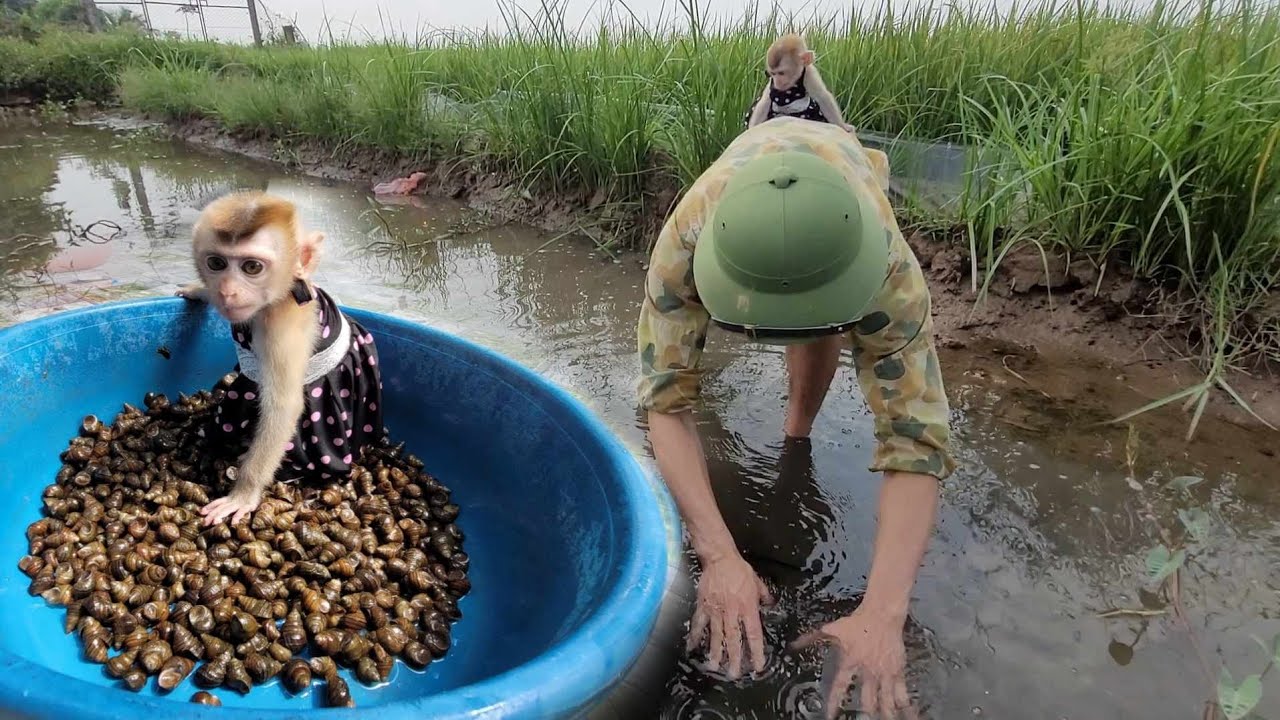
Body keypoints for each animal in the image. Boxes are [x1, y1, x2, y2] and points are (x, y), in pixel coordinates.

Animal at [176, 191, 386, 527]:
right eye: (216, 263)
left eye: (251, 267)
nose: (227, 291)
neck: (285, 294)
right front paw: (198, 290)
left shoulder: (281, 326)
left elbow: (283, 405)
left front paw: (244, 493)